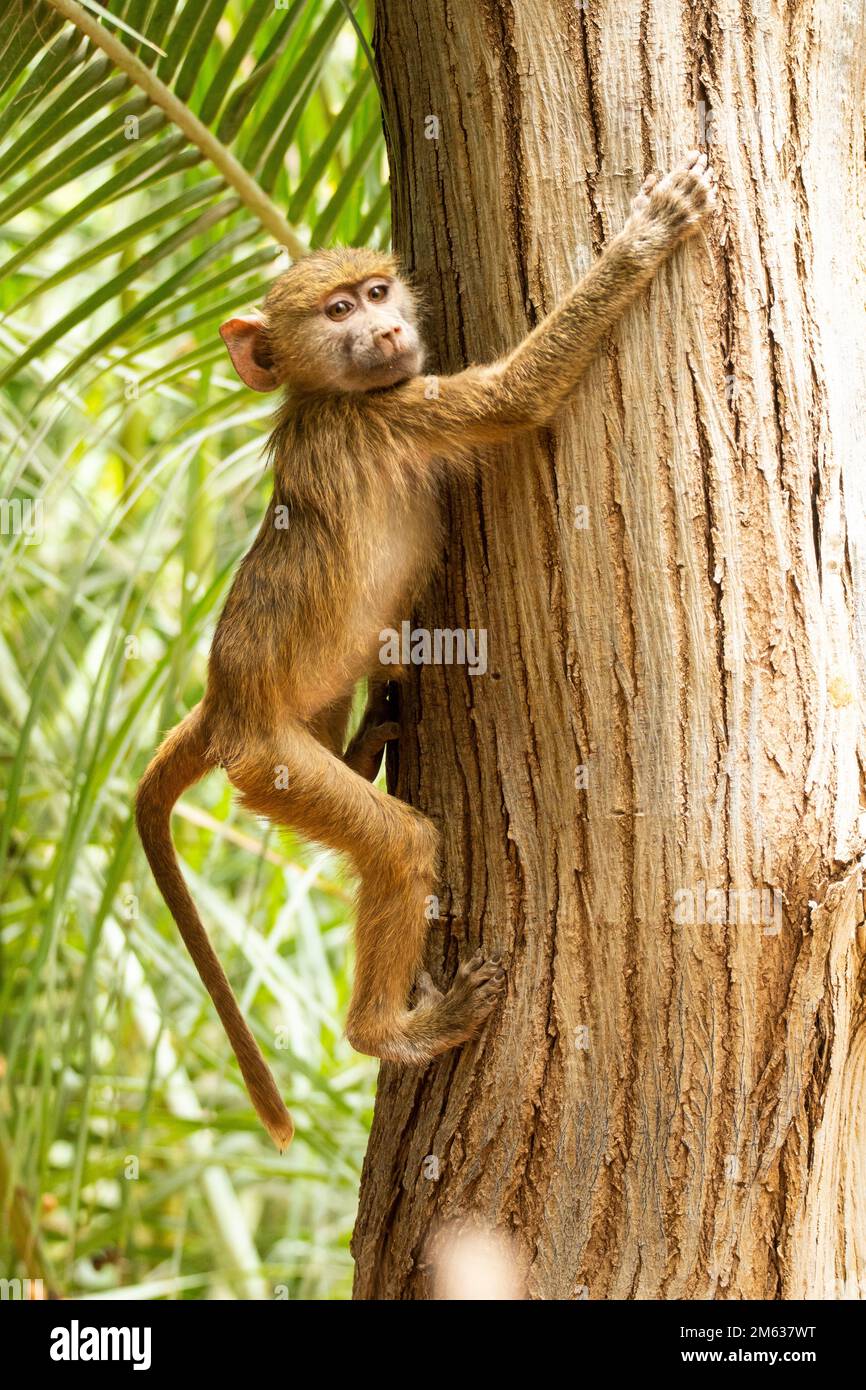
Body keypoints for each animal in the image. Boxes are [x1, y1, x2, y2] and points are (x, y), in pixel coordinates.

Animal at [135, 151, 716, 1150]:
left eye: (375, 291)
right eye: (338, 311)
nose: (389, 328)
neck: (328, 397)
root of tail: (224, 701)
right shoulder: (392, 415)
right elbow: (519, 397)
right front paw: (644, 238)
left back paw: (368, 744)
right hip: (268, 763)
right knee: (400, 844)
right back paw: (388, 1033)